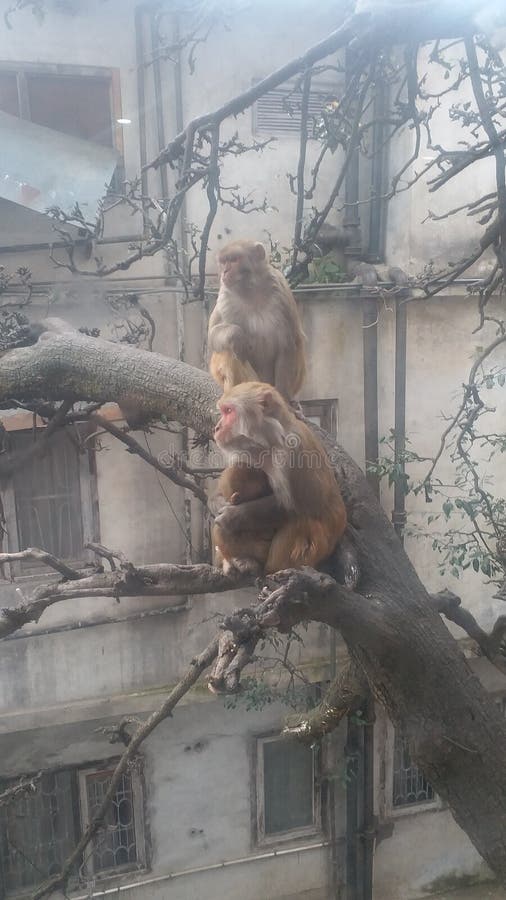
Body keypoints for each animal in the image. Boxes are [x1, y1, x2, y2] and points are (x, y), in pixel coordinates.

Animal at [208, 240, 307, 401]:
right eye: (223, 262)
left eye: (234, 260)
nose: (225, 272)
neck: (250, 292)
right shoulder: (225, 298)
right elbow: (213, 336)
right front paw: (236, 334)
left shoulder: (281, 291)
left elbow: (287, 344)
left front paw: (284, 397)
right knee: (228, 348)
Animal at [213, 381, 347, 574]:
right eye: (223, 411)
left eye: (228, 411)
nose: (216, 428)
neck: (269, 441)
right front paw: (219, 504)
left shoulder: (292, 451)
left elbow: (294, 507)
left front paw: (233, 516)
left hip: (316, 550)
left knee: (301, 519)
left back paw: (275, 568)